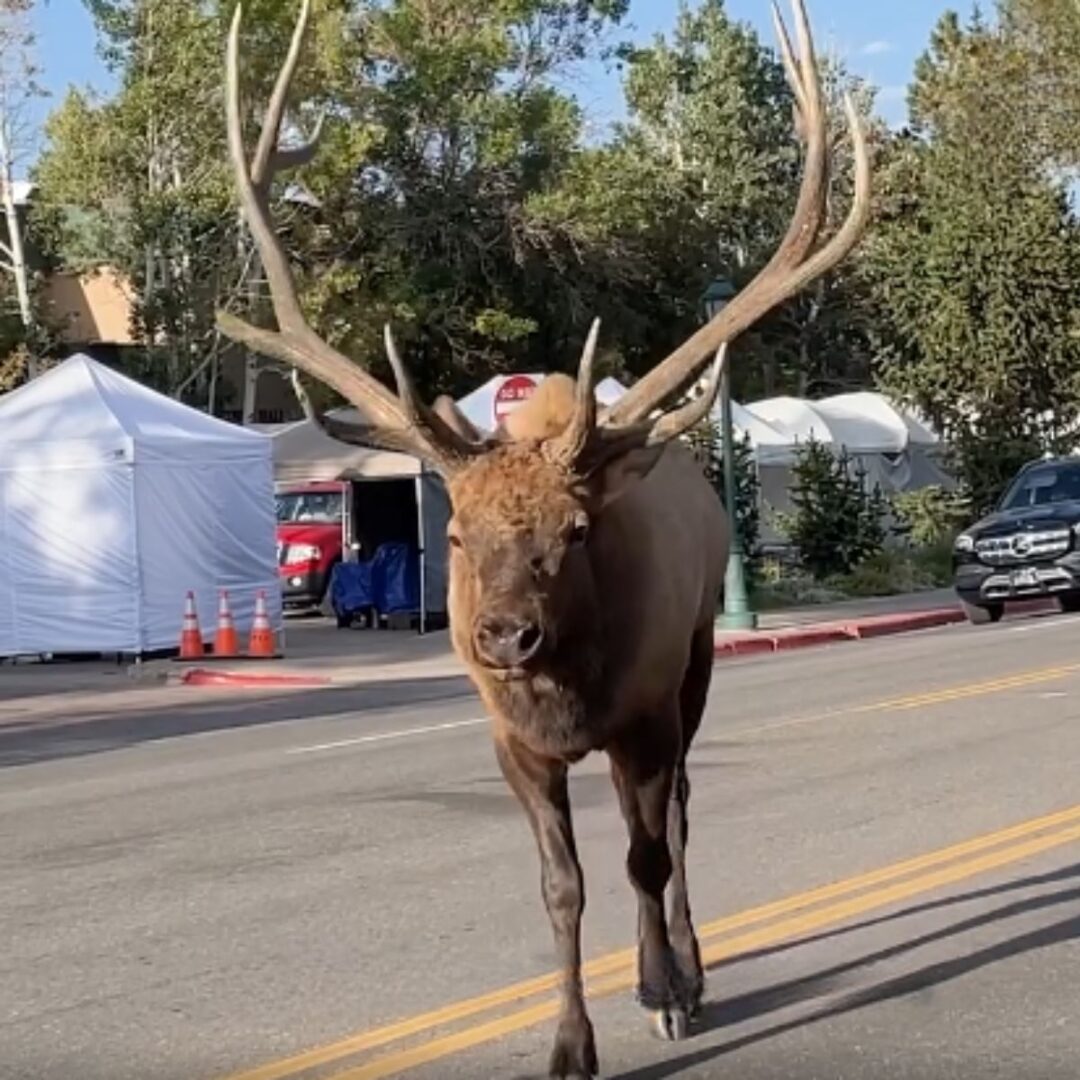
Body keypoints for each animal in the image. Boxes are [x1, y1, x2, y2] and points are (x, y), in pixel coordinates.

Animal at [218, 1, 870, 1076]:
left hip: (695, 660)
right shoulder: (512, 742)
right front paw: (570, 1044)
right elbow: (560, 887)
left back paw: (689, 967)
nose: (504, 637)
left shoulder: (645, 712)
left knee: (679, 819)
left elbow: (643, 856)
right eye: (458, 532)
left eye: (575, 527)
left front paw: (663, 992)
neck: (570, 690)